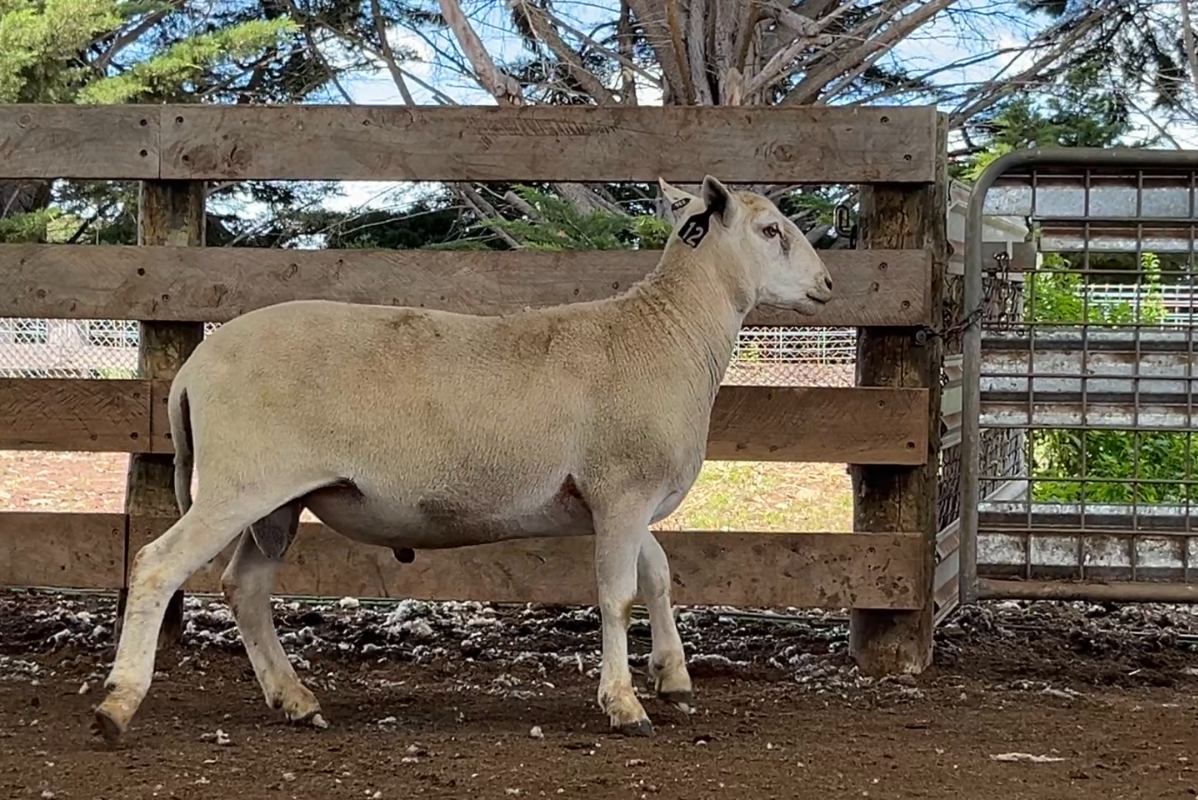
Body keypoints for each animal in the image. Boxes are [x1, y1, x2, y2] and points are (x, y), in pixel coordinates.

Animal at [92, 175, 835, 743]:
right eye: (771, 230)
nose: (828, 284)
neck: (670, 332)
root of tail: (192, 369)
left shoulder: (617, 497)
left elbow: (658, 575)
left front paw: (674, 680)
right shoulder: (622, 489)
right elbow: (618, 594)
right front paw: (625, 706)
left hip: (276, 498)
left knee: (244, 586)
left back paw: (296, 700)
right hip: (239, 482)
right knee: (157, 565)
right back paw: (117, 705)